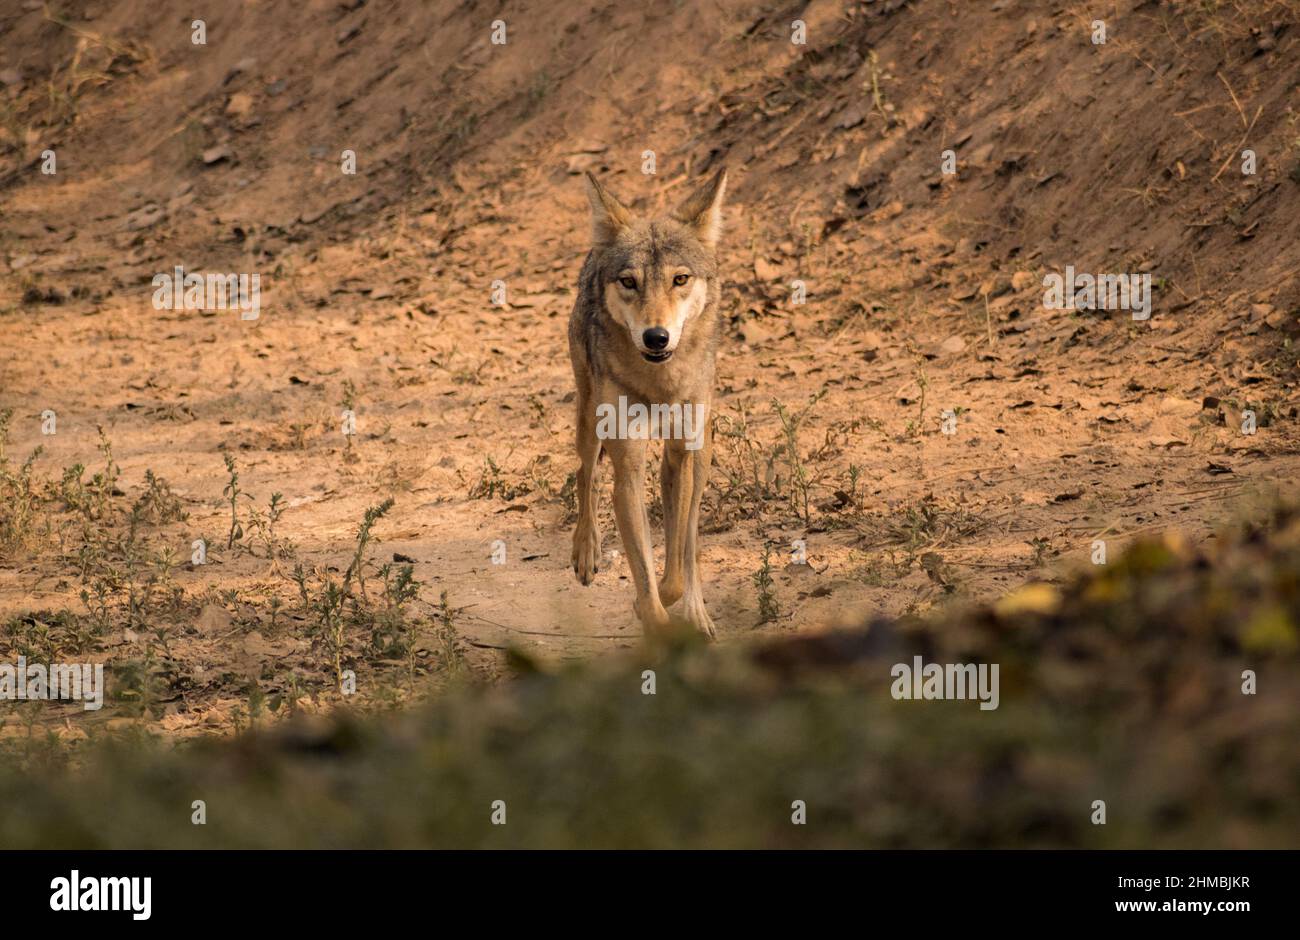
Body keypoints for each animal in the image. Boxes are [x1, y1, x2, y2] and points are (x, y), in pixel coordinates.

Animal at [568, 168, 728, 638]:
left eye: (680, 279)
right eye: (629, 282)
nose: (656, 337)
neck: (660, 386)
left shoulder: (684, 454)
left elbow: (677, 565)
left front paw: (688, 610)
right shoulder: (628, 467)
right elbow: (644, 570)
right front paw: (650, 615)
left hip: (698, 449)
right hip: (589, 419)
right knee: (585, 472)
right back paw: (586, 551)